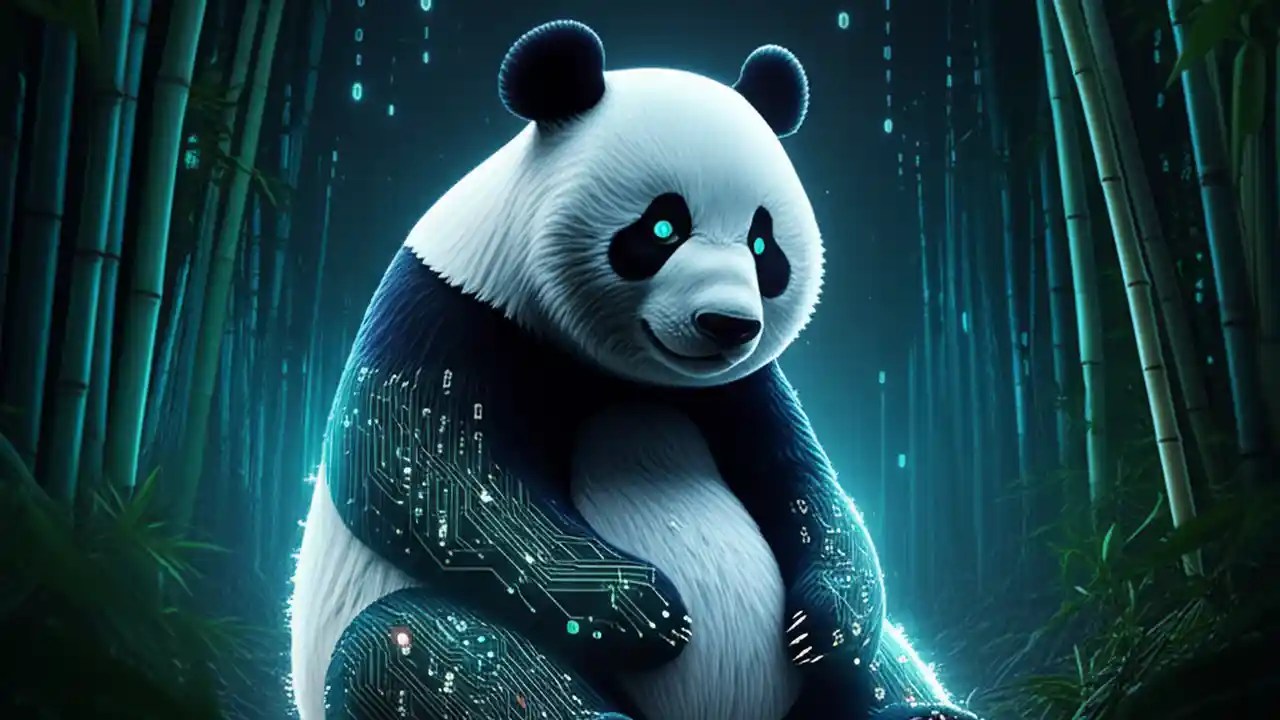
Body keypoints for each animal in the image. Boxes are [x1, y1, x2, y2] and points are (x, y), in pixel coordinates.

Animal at [290, 19, 978, 720]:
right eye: (662, 226)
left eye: (764, 245)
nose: (728, 324)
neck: (622, 372)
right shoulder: (450, 315)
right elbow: (430, 475)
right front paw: (645, 609)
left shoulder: (742, 387)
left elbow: (804, 482)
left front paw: (825, 627)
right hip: (430, 641)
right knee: (431, 654)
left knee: (887, 663)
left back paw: (924, 710)